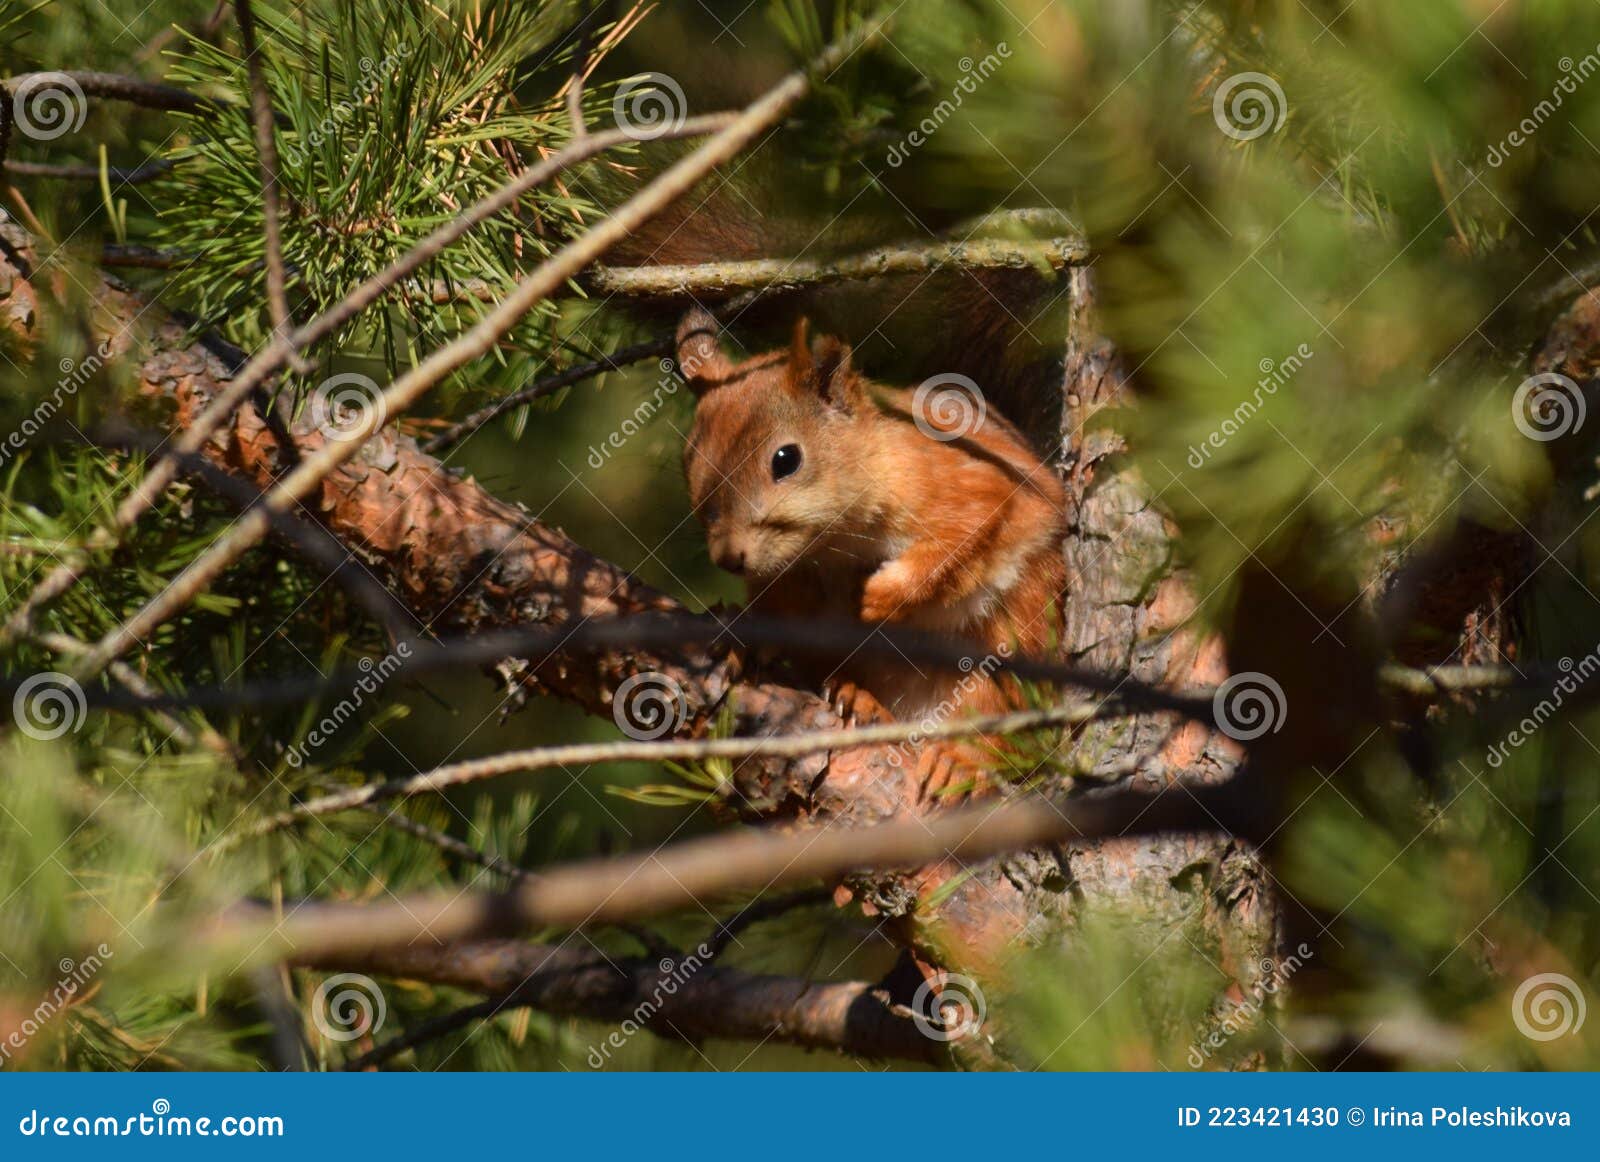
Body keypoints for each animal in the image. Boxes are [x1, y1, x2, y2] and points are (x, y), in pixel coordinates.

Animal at [675, 306, 1066, 782]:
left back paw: (961, 760)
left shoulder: (971, 487)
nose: (729, 558)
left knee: (1002, 713)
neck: (835, 542)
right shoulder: (791, 574)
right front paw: (743, 633)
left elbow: (960, 543)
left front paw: (880, 597)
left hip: (1018, 634)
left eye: (786, 459)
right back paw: (860, 698)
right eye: (688, 459)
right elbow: (785, 612)